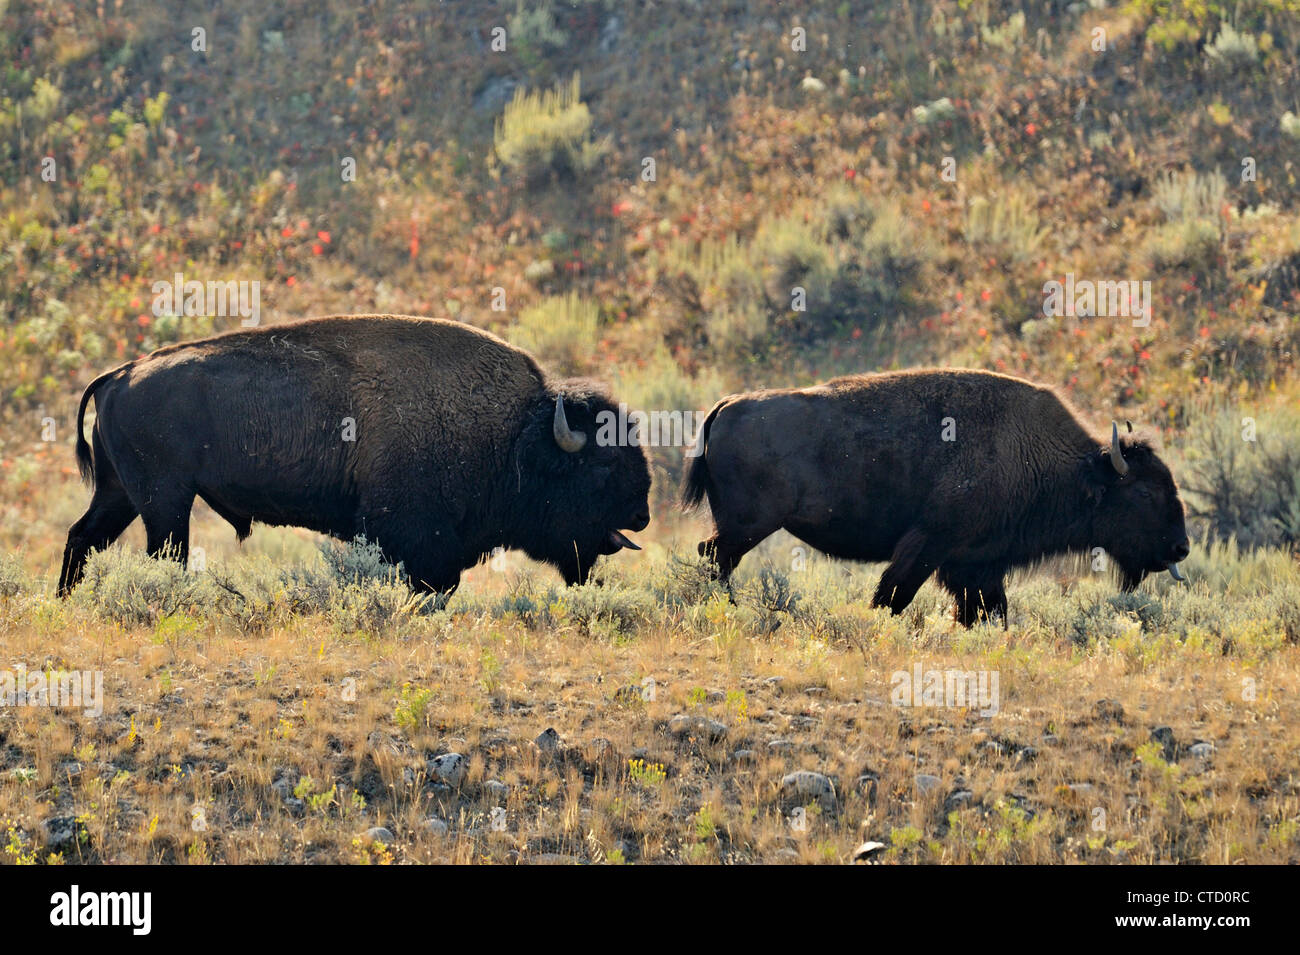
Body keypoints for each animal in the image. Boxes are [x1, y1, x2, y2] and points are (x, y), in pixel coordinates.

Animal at [58, 314, 651, 597]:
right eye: (601, 466)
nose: (642, 513)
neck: (514, 433)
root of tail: (120, 373)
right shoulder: (413, 534)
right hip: (165, 499)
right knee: (164, 553)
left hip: (122, 493)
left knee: (83, 537)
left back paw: (67, 602)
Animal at [682, 368, 1190, 627]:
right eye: (1145, 492)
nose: (1181, 546)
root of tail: (725, 406)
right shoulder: (931, 545)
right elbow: (894, 593)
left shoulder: (978, 563)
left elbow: (986, 609)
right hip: (747, 526)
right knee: (716, 557)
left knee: (713, 557)